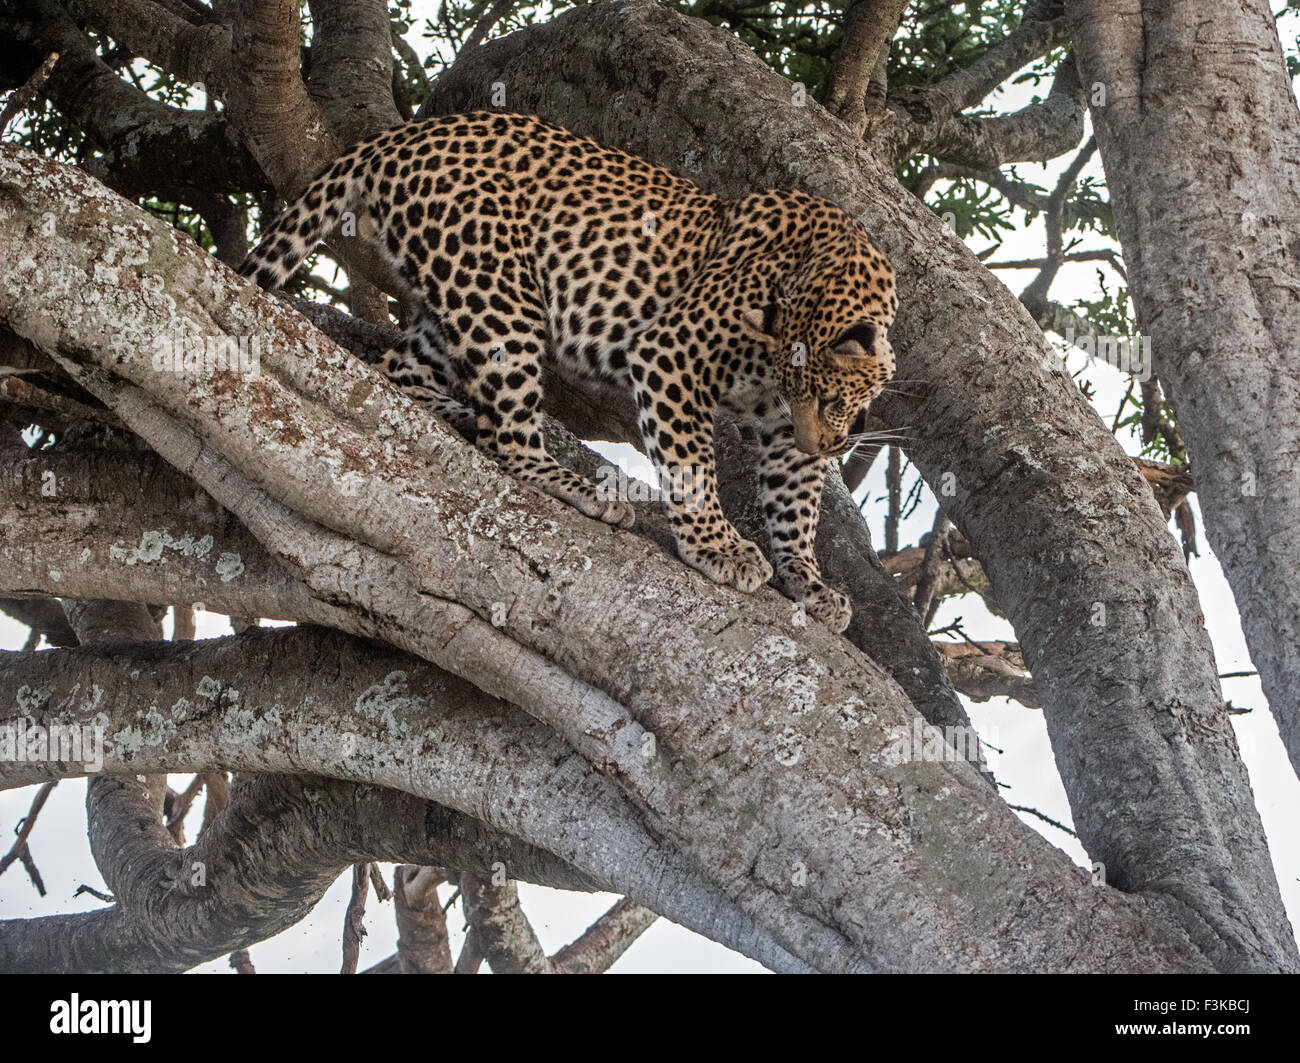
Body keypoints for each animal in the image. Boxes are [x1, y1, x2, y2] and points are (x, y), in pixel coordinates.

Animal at [238, 111, 897, 633]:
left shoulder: (784, 429)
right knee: (508, 438)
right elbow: (691, 466)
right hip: (500, 294)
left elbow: (795, 506)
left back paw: (458, 412)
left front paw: (808, 581)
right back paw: (578, 486)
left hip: (461, 297)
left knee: (402, 369)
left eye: (828, 402)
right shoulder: (671, 354)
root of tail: (405, 131)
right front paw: (719, 548)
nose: (824, 443)